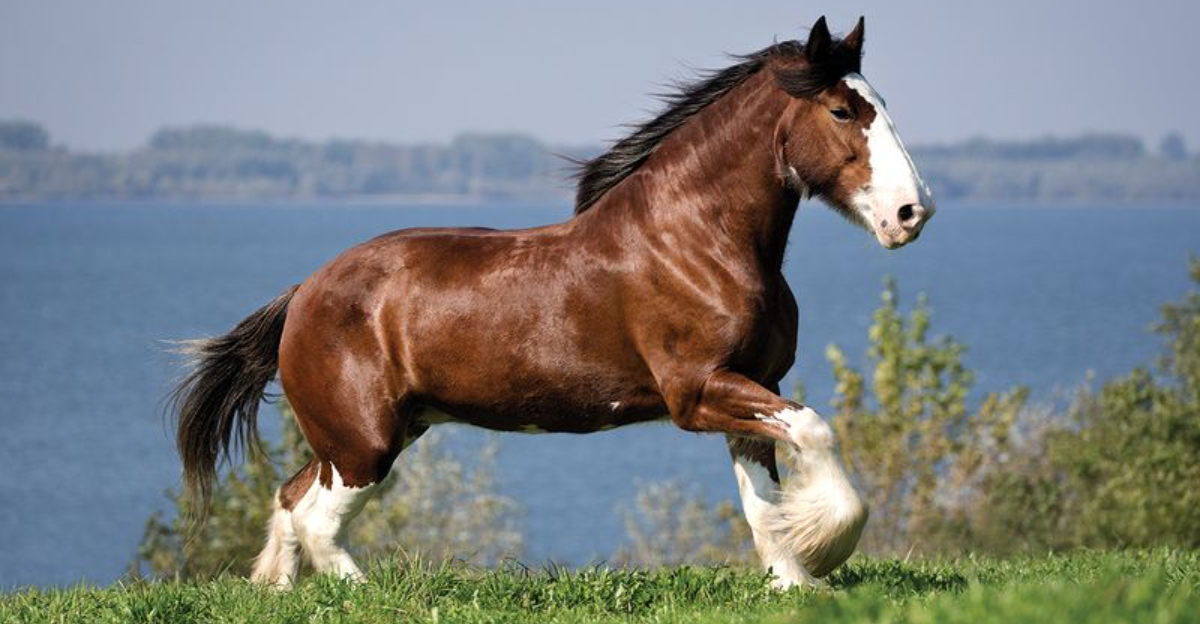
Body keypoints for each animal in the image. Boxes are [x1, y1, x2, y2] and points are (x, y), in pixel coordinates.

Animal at [172, 15, 933, 589]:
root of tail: (302, 293)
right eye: (842, 109)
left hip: (374, 431)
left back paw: (274, 587)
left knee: (292, 498)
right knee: (317, 520)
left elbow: (763, 504)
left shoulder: (752, 384)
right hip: (365, 440)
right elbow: (817, 432)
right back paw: (360, 594)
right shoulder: (697, 391)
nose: (911, 213)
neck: (698, 240)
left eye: (883, 106)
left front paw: (794, 583)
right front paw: (827, 549)